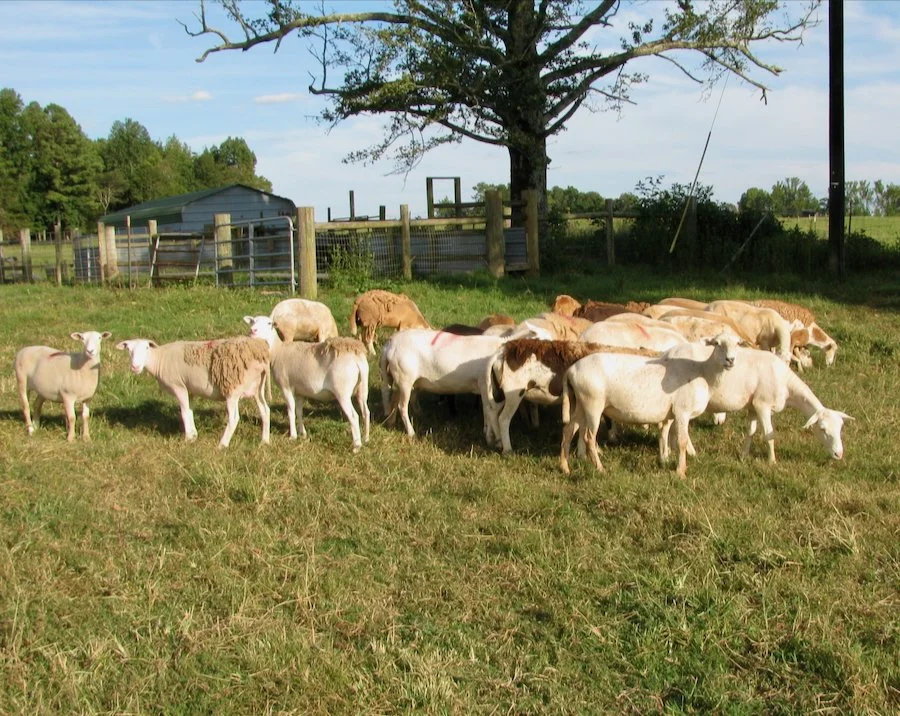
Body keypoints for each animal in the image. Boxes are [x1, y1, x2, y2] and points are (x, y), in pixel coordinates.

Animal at [116, 336, 271, 448]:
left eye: (147, 348)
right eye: (129, 349)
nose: (135, 367)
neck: (160, 359)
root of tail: (260, 354)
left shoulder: (179, 386)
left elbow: (184, 413)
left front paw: (188, 438)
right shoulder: (189, 389)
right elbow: (189, 411)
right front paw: (194, 436)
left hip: (232, 388)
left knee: (234, 418)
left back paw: (222, 444)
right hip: (258, 388)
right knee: (265, 410)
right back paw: (264, 441)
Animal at [244, 315, 370, 452]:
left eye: (269, 323)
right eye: (253, 321)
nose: (252, 331)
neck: (278, 351)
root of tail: (357, 359)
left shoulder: (286, 386)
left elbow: (291, 410)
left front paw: (293, 436)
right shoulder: (300, 390)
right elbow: (299, 411)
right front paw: (302, 433)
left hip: (342, 392)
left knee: (354, 416)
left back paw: (356, 446)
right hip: (362, 388)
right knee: (366, 412)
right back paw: (366, 438)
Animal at [559, 334, 741, 478]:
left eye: (738, 344)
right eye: (717, 343)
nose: (730, 360)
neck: (703, 373)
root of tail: (570, 371)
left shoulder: (671, 413)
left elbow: (666, 433)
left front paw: (665, 459)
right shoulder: (682, 411)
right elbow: (681, 441)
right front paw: (681, 472)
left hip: (581, 402)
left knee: (568, 430)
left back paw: (565, 467)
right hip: (593, 403)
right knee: (589, 437)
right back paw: (600, 469)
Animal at [666, 341, 852, 463]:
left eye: (840, 428)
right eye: (822, 429)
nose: (839, 454)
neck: (787, 385)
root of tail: (668, 354)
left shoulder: (753, 407)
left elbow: (751, 431)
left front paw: (743, 455)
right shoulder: (763, 405)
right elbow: (769, 435)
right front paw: (772, 462)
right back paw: (683, 453)